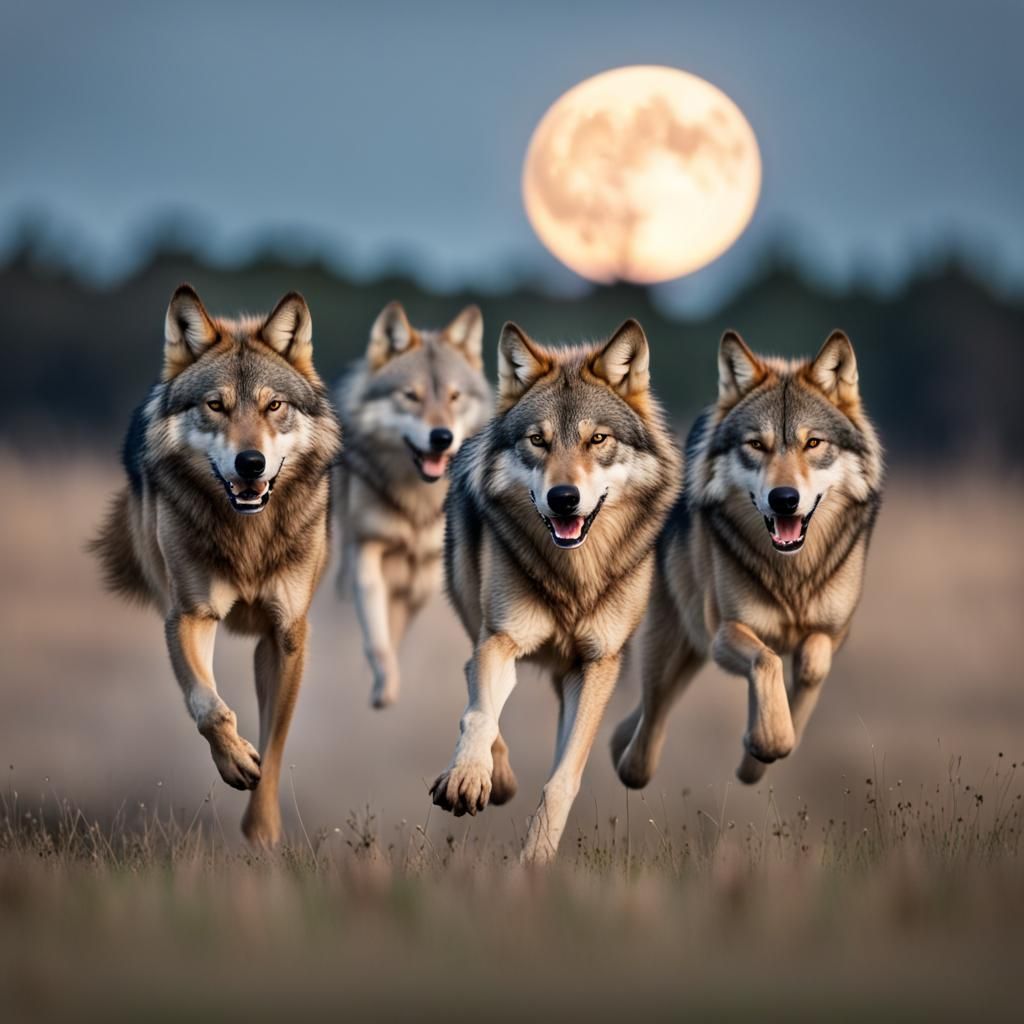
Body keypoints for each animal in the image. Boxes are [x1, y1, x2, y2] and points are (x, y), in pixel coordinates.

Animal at [90, 284, 341, 845]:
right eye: (215, 406)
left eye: (274, 405)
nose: (251, 463)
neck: (247, 535)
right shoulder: (189, 615)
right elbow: (208, 707)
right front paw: (234, 761)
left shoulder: (286, 634)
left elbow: (275, 743)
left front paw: (263, 829)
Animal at [333, 301, 491, 708]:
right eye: (411, 396)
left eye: (454, 397)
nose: (442, 437)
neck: (416, 502)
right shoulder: (367, 548)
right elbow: (377, 631)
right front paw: (383, 680)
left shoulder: (425, 569)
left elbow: (396, 626)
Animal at [430, 319, 682, 863]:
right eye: (538, 441)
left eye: (598, 439)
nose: (563, 497)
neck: (573, 576)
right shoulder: (502, 638)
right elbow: (479, 716)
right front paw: (467, 779)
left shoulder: (596, 665)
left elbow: (563, 778)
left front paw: (536, 860)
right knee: (473, 682)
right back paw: (492, 778)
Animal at [612, 330, 883, 789]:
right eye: (757, 445)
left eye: (813, 443)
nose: (784, 498)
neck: (791, 573)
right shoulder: (725, 634)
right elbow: (768, 660)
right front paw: (769, 741)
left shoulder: (834, 633)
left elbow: (810, 665)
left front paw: (760, 750)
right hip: (673, 647)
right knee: (649, 723)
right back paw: (628, 761)